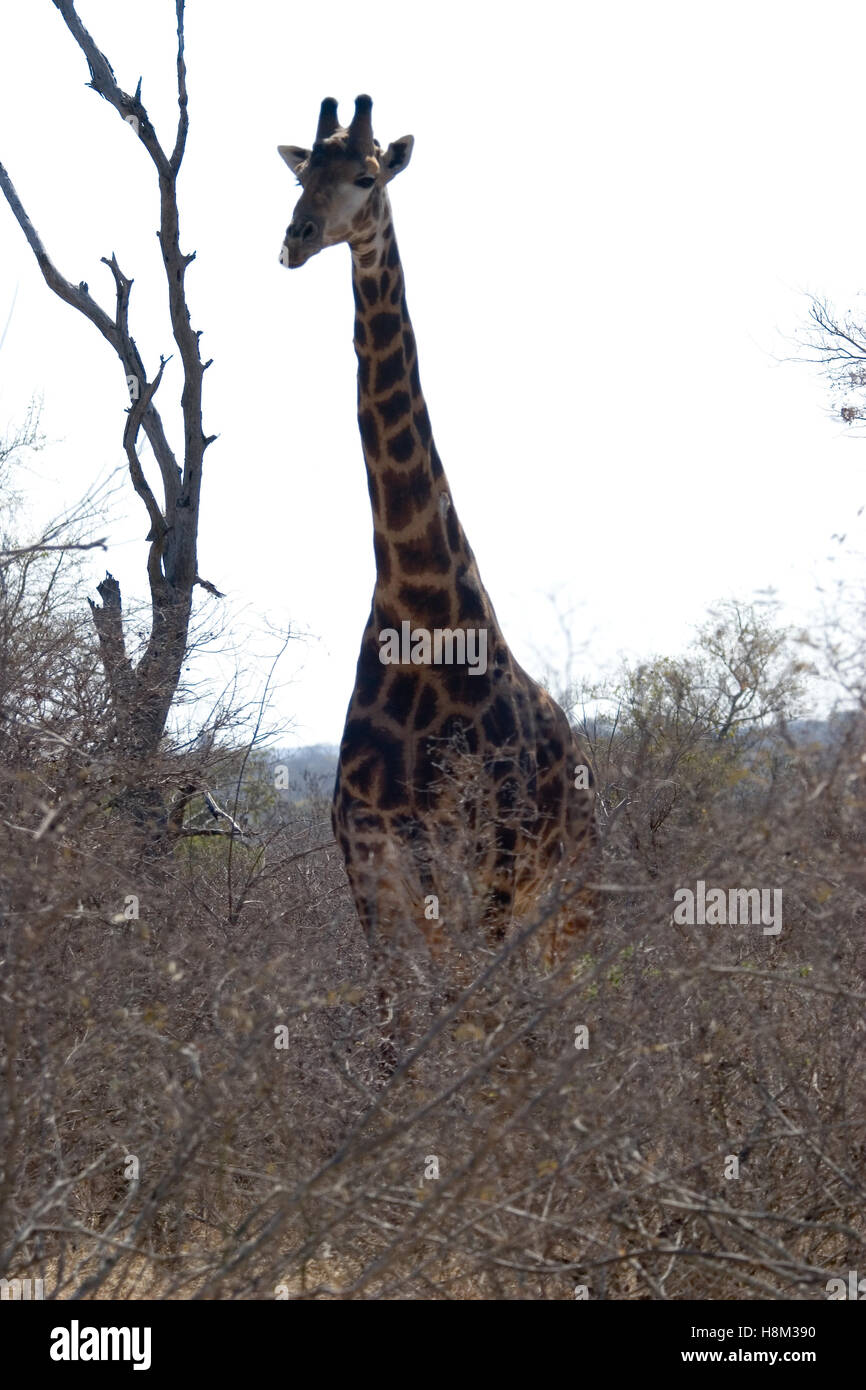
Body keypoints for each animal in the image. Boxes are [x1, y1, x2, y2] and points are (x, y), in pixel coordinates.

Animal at [279, 96, 598, 1058]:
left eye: (366, 173)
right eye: (303, 172)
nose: (296, 239)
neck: (418, 602)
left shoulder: (482, 863)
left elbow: (472, 1029)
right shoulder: (369, 860)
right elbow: (394, 1043)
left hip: (568, 900)